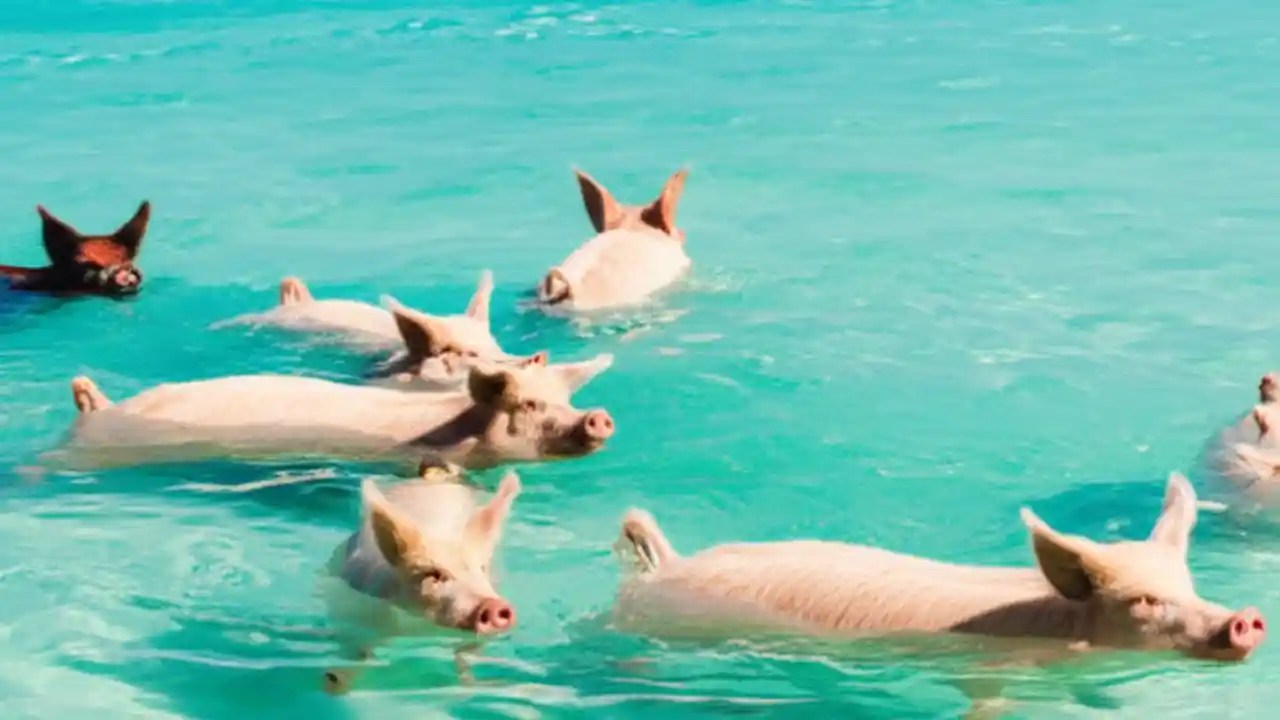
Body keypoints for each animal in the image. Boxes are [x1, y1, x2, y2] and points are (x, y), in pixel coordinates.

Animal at [320, 464, 521, 693]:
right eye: (433, 574)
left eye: (482, 568)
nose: (494, 605)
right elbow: (358, 650)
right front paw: (333, 683)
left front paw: (471, 683)